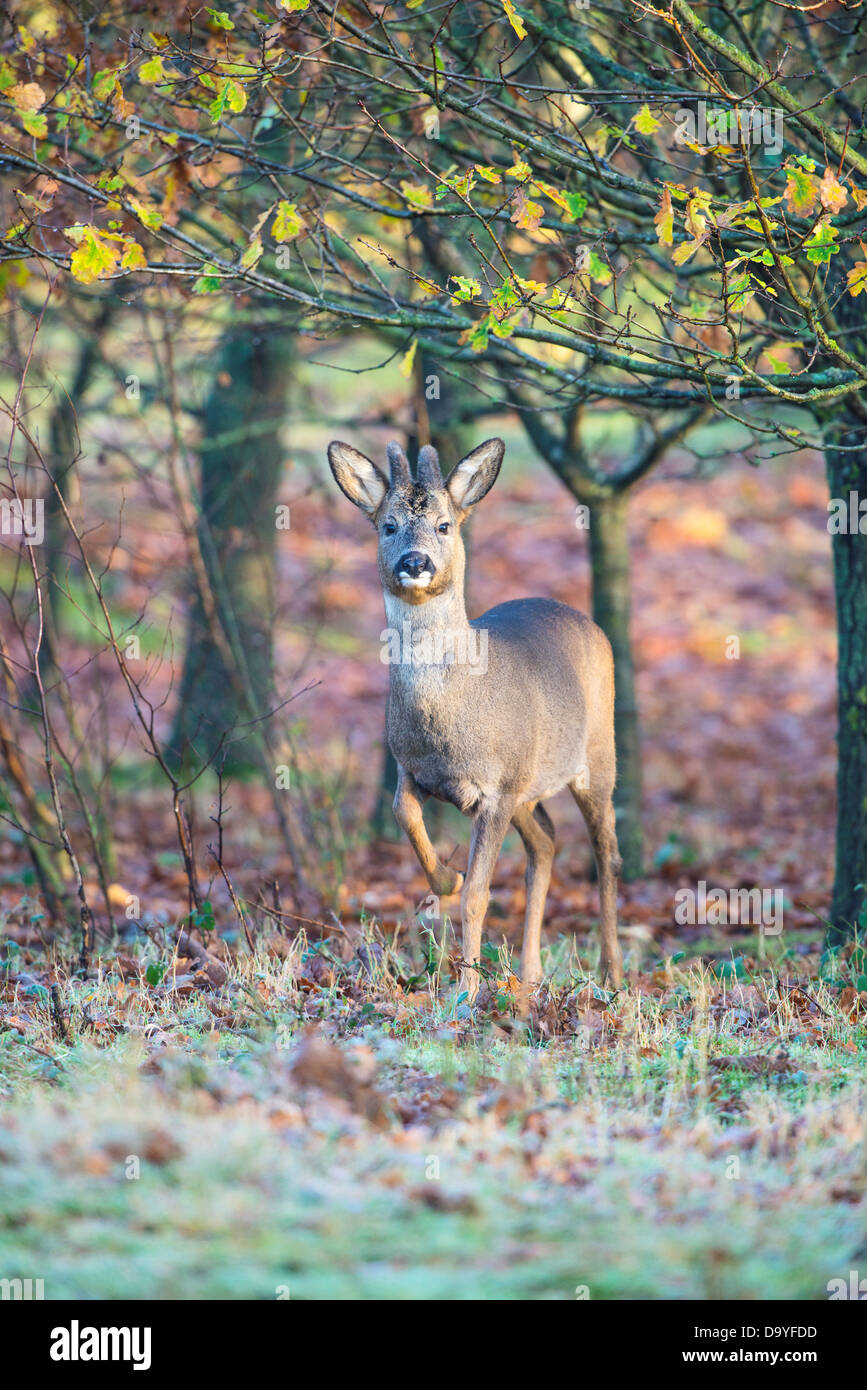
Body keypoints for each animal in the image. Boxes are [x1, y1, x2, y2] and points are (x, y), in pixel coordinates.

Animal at [327, 435, 623, 1002]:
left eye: (445, 525)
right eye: (388, 525)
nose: (415, 561)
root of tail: (587, 622)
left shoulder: (498, 789)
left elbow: (480, 896)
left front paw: (465, 989)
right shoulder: (412, 768)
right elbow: (404, 814)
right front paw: (446, 878)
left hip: (597, 757)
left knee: (607, 856)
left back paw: (613, 977)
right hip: (529, 781)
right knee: (546, 841)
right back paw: (529, 974)